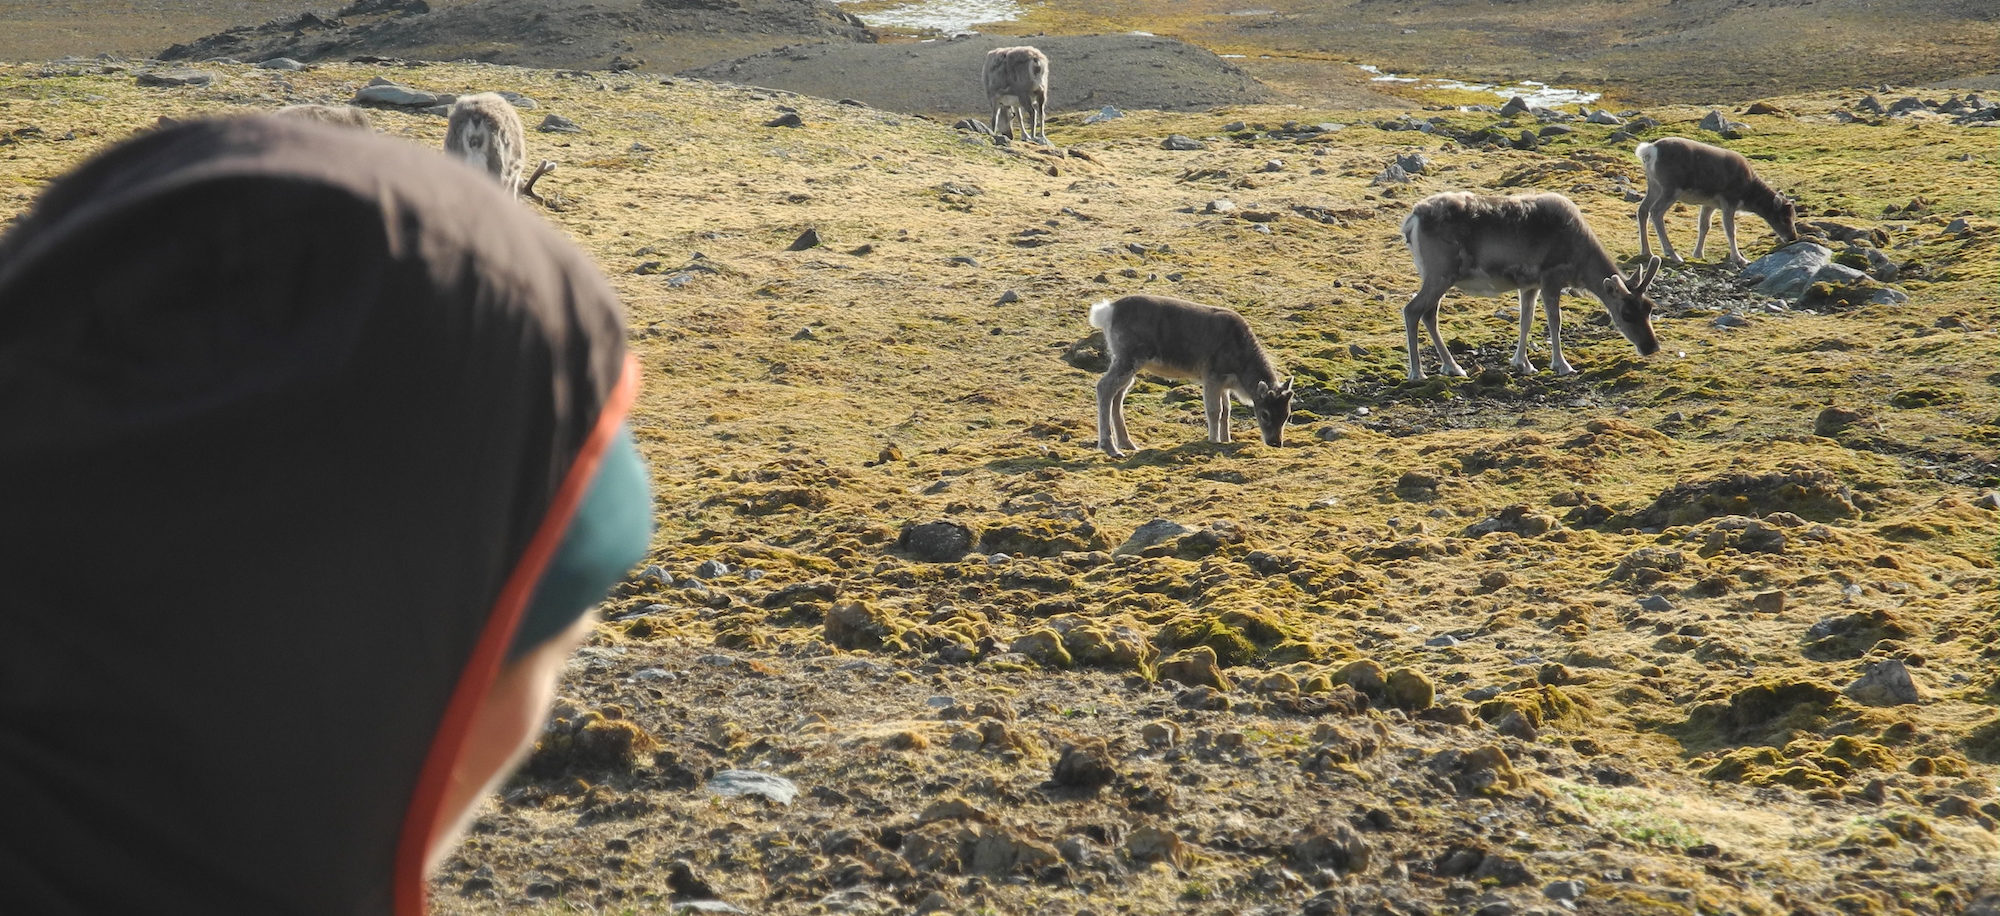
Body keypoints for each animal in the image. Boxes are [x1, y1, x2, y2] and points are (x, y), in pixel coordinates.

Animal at [1088, 295, 1294, 459]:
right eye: (1265, 413)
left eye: (1287, 414)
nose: (1276, 443)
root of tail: (1107, 311)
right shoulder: (1212, 376)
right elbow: (1215, 410)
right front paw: (1214, 440)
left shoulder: (1224, 384)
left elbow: (1226, 412)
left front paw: (1226, 439)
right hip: (1129, 358)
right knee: (1104, 387)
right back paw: (1111, 448)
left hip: (1127, 362)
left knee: (1118, 394)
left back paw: (1127, 443)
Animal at [1400, 190, 1662, 382]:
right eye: (1626, 314)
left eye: (1650, 307)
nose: (1651, 347)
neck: (1580, 262)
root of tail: (1411, 221)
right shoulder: (1550, 278)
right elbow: (1554, 321)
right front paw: (1562, 365)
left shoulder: (1529, 285)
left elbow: (1526, 321)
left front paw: (1523, 363)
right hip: (1440, 273)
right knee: (1412, 310)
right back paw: (1417, 372)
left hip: (1437, 276)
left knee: (1429, 314)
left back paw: (1452, 367)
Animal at [1636, 136, 1798, 267]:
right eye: (1784, 218)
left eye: (1793, 216)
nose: (1793, 237)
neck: (1748, 193)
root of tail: (1650, 150)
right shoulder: (1729, 201)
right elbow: (1730, 230)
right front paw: (1739, 259)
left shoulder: (1709, 204)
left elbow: (1704, 226)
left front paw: (1698, 254)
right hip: (1670, 188)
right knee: (1656, 212)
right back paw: (1673, 255)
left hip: (1654, 186)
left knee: (1643, 210)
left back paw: (1647, 251)